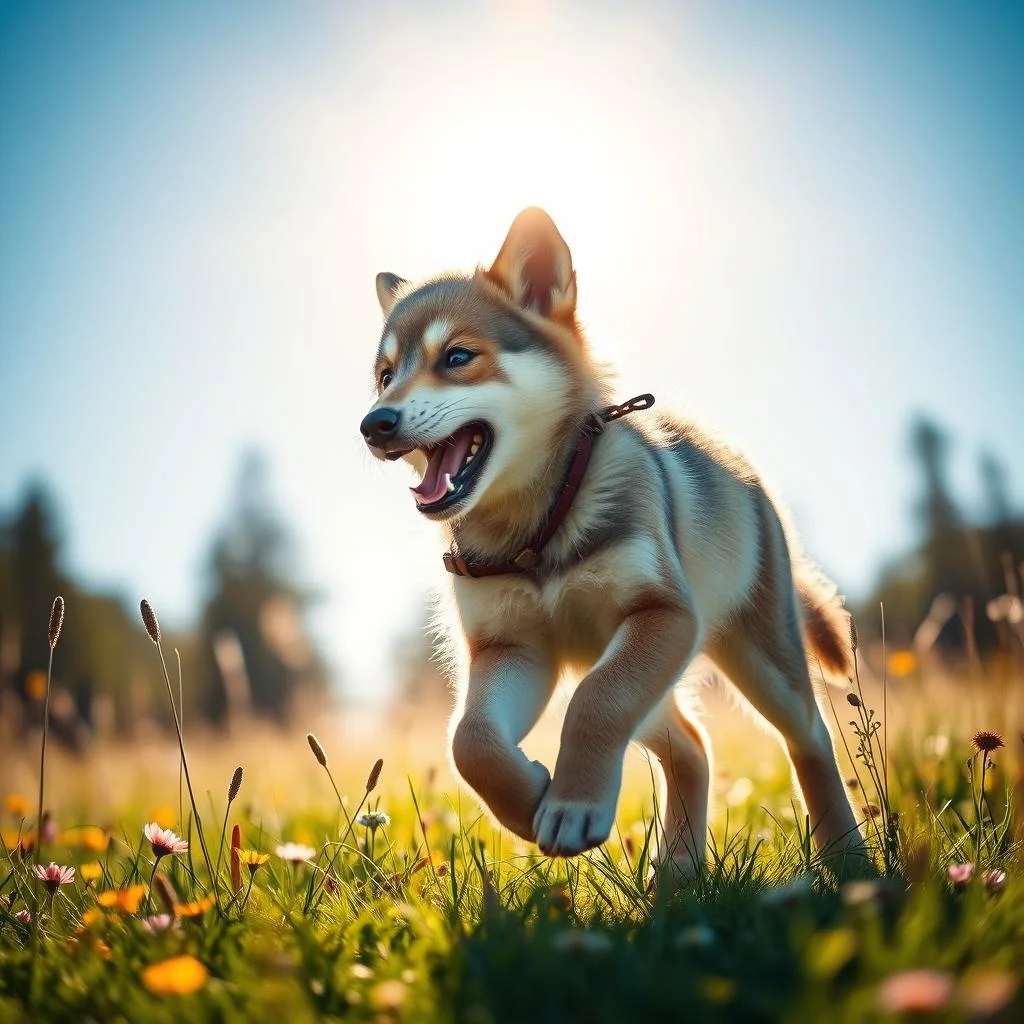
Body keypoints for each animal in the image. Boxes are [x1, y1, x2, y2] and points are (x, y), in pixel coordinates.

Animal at [359, 208, 869, 878]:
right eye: (385, 375)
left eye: (458, 356)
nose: (373, 424)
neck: (540, 530)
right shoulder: (511, 648)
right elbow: (471, 742)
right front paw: (528, 799)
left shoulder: (663, 615)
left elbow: (594, 704)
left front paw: (573, 804)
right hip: (648, 680)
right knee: (692, 747)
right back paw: (676, 879)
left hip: (751, 656)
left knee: (809, 736)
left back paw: (851, 863)